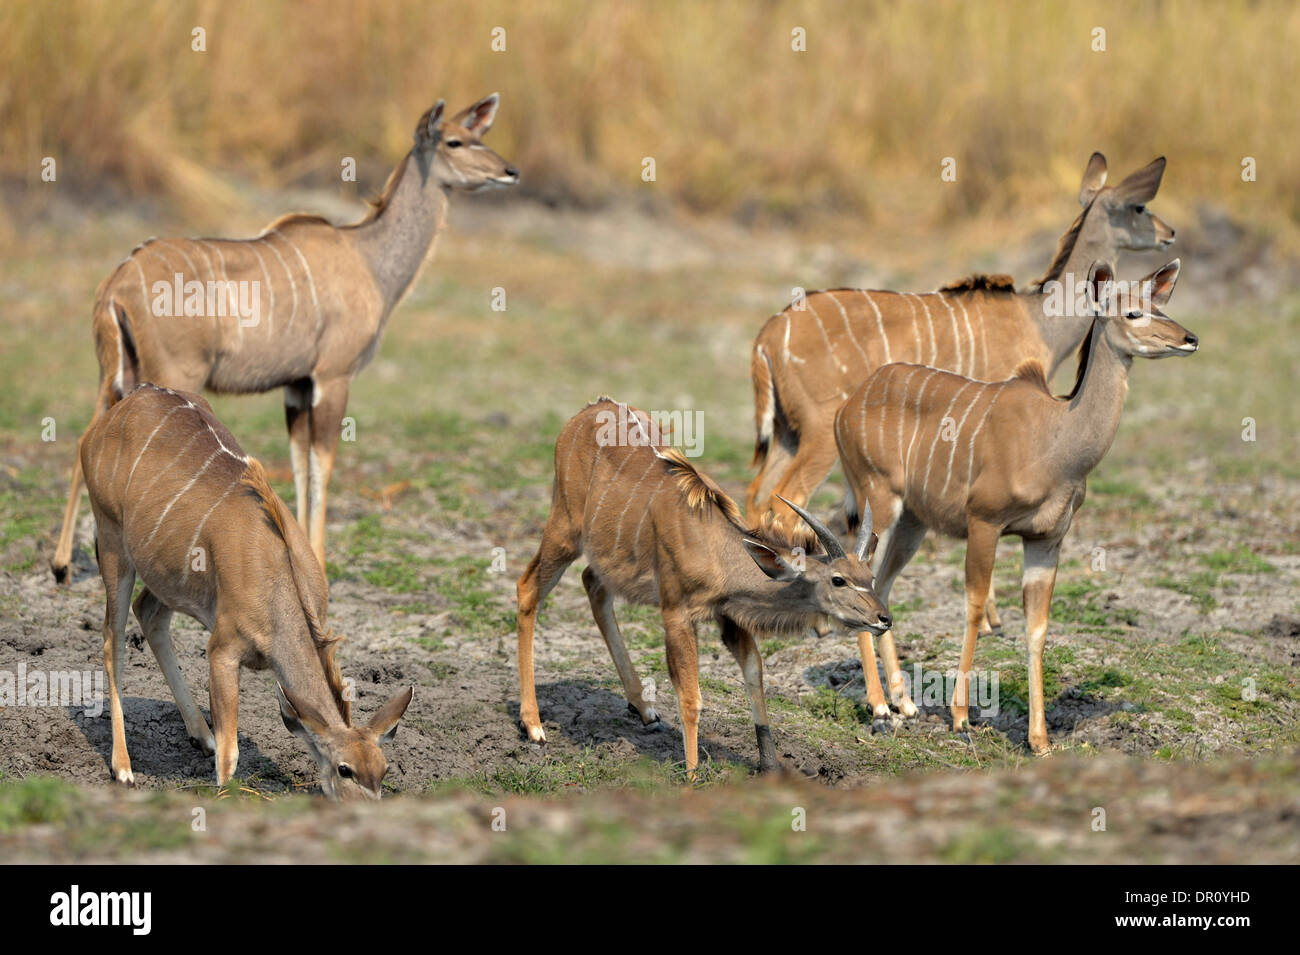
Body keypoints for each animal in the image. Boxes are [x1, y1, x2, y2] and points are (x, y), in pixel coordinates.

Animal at [53, 93, 519, 580]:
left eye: (478, 134)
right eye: (454, 141)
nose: (509, 172)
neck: (368, 259)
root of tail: (117, 281)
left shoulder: (296, 384)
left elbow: (298, 463)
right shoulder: (333, 376)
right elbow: (322, 464)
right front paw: (322, 561)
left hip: (116, 372)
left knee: (87, 437)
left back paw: (62, 563)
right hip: (174, 374)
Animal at [80, 383, 414, 798]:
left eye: (383, 770)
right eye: (344, 769)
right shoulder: (222, 649)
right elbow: (231, 752)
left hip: (166, 571)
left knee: (149, 613)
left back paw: (200, 736)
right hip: (113, 542)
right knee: (113, 640)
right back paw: (123, 768)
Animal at [516, 398, 892, 775]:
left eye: (869, 578)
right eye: (838, 580)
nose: (884, 618)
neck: (717, 549)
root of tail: (590, 410)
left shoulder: (728, 616)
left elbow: (754, 675)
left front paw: (769, 766)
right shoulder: (676, 614)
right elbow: (691, 697)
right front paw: (694, 774)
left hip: (607, 557)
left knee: (593, 584)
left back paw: (645, 711)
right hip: (564, 530)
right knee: (528, 587)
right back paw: (533, 726)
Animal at [834, 259, 1196, 752]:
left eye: (1161, 305)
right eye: (1134, 313)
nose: (1189, 338)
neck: (1055, 441)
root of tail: (846, 408)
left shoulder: (1046, 539)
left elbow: (1037, 628)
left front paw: (1039, 740)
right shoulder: (984, 521)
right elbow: (974, 606)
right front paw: (961, 717)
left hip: (913, 522)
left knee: (881, 586)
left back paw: (904, 704)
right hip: (881, 502)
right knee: (861, 572)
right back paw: (878, 708)